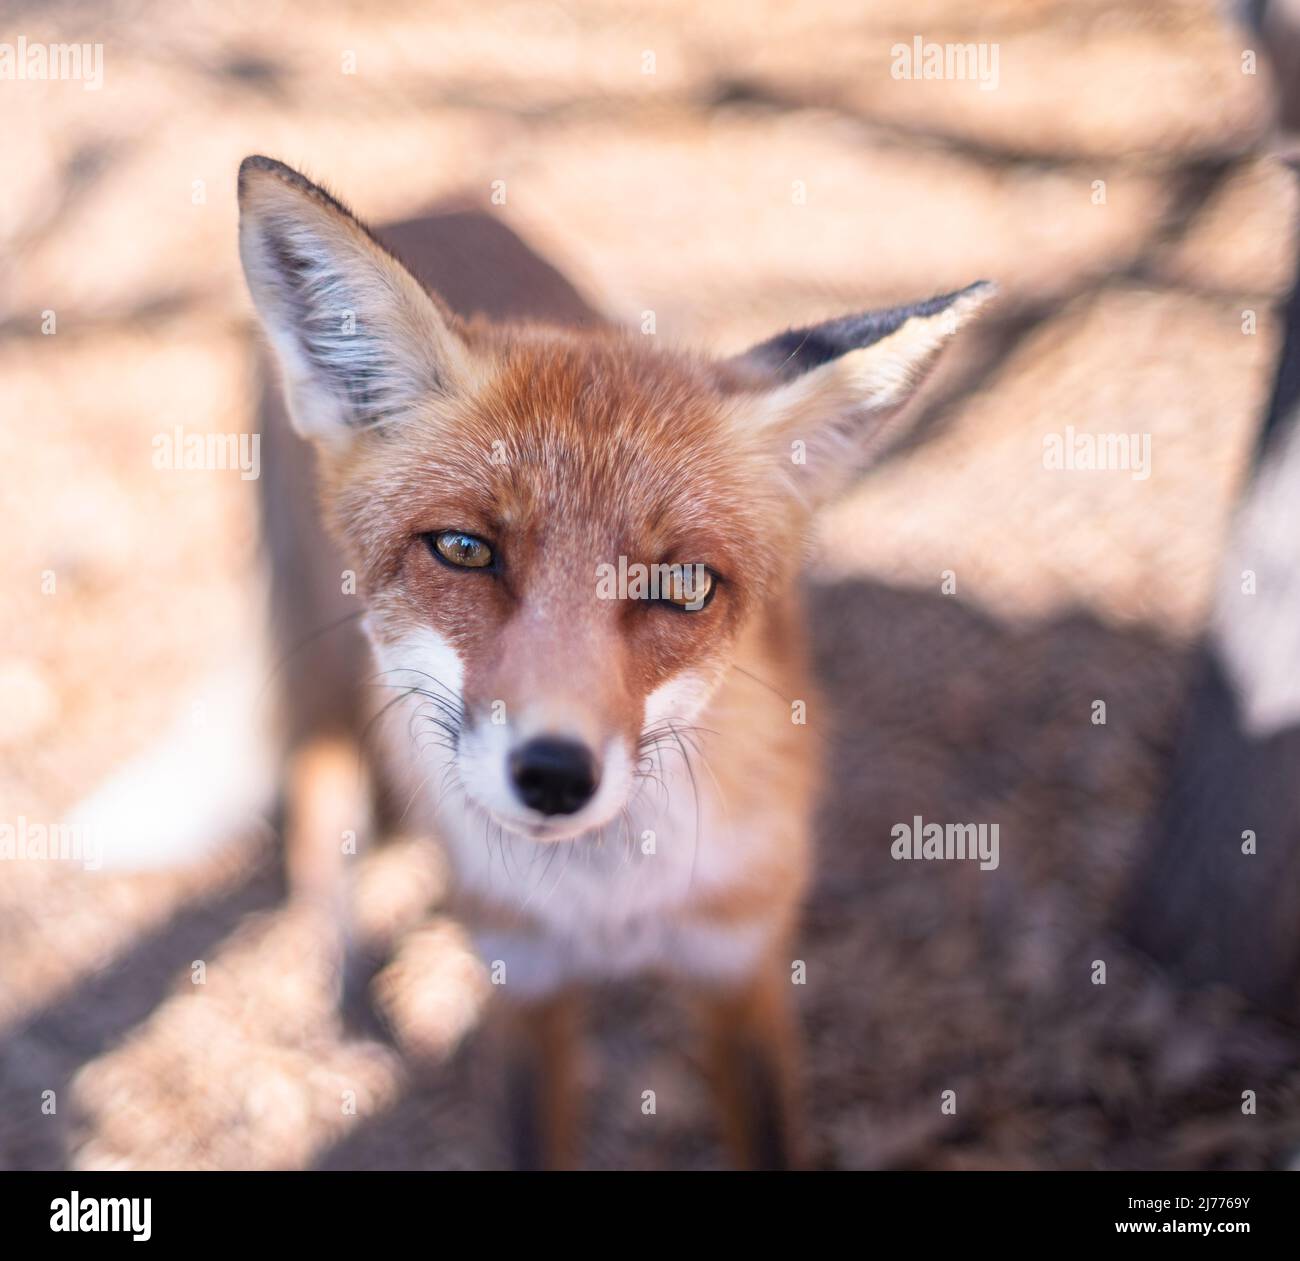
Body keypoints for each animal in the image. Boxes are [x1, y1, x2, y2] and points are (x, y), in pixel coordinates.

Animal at [227, 155, 994, 1170]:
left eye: (680, 584)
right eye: (465, 549)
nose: (555, 773)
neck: (609, 905)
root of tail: (432, 201)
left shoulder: (741, 963)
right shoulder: (523, 983)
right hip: (326, 695)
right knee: (322, 823)